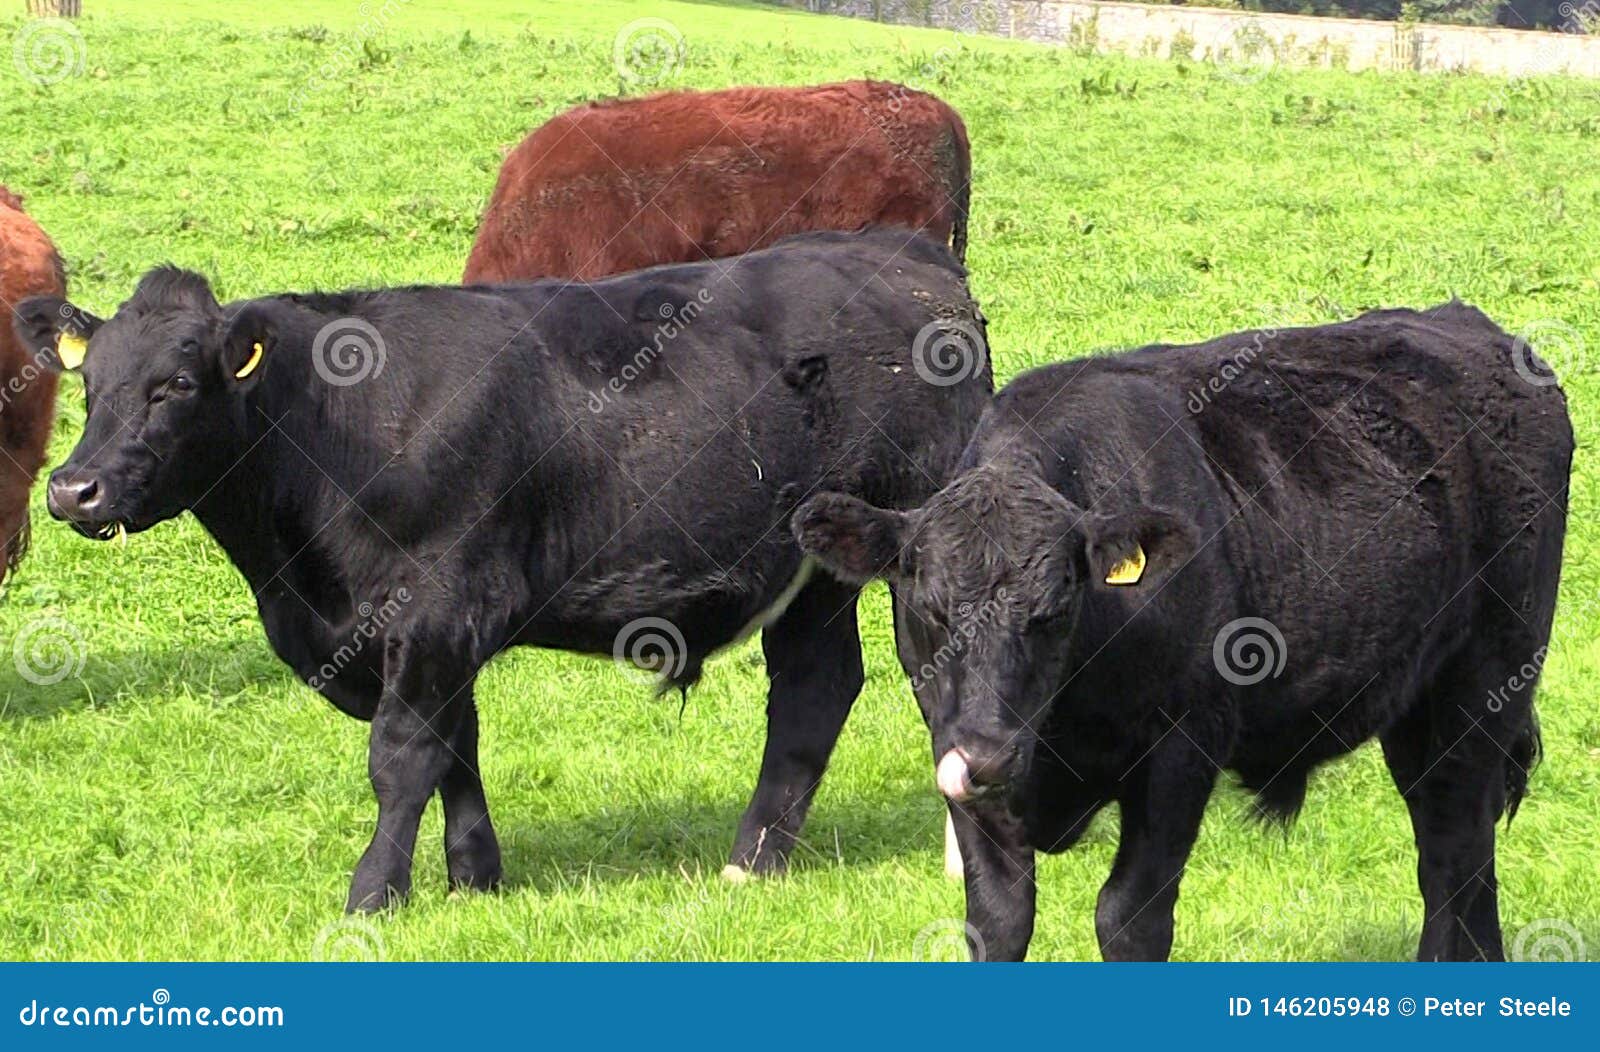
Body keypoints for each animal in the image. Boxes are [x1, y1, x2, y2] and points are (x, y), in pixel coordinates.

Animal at [13, 228, 991, 913]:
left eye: (176, 386)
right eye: (90, 387)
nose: (73, 488)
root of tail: (907, 256)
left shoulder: (437, 604)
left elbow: (403, 755)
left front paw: (372, 897)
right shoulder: (420, 632)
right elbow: (457, 746)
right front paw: (475, 877)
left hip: (925, 548)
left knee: (937, 682)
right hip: (810, 570)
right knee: (814, 692)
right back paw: (750, 865)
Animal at [793, 303, 1572, 961]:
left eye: (1055, 610)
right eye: (930, 609)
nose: (988, 757)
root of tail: (1476, 330)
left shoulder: (1184, 742)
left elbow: (1129, 917)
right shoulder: (953, 745)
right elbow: (1000, 917)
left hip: (1489, 679)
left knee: (1453, 848)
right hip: (1417, 705)